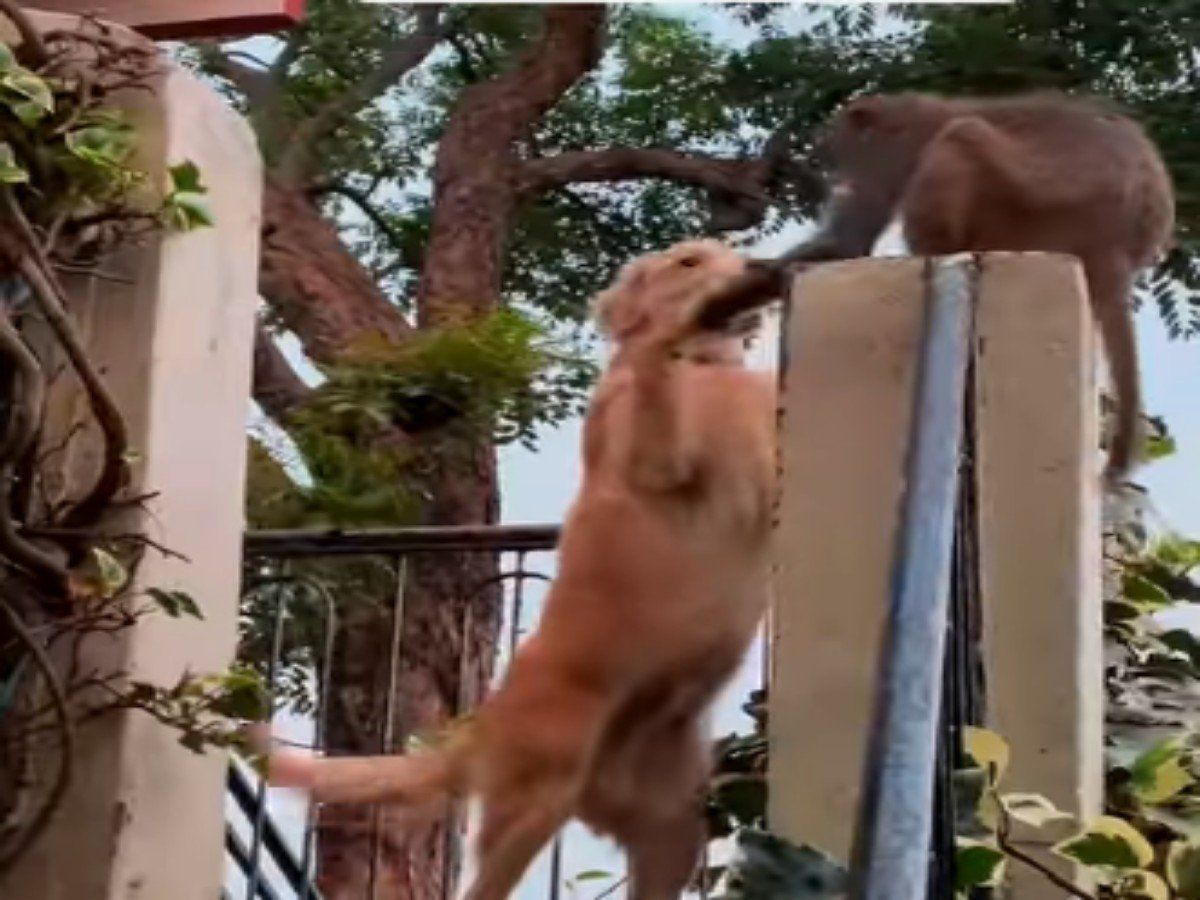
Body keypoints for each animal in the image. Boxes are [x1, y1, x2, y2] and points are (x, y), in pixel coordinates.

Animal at [262, 240, 783, 900]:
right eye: (689, 262)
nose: (762, 271)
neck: (711, 367)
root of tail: (484, 724)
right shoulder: (653, 455)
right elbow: (654, 387)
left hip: (670, 825)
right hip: (536, 798)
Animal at [778, 91, 1175, 484]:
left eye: (834, 142)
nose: (824, 163)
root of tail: (1116, 251)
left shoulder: (892, 152)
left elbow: (851, 238)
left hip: (1030, 208)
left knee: (962, 134)